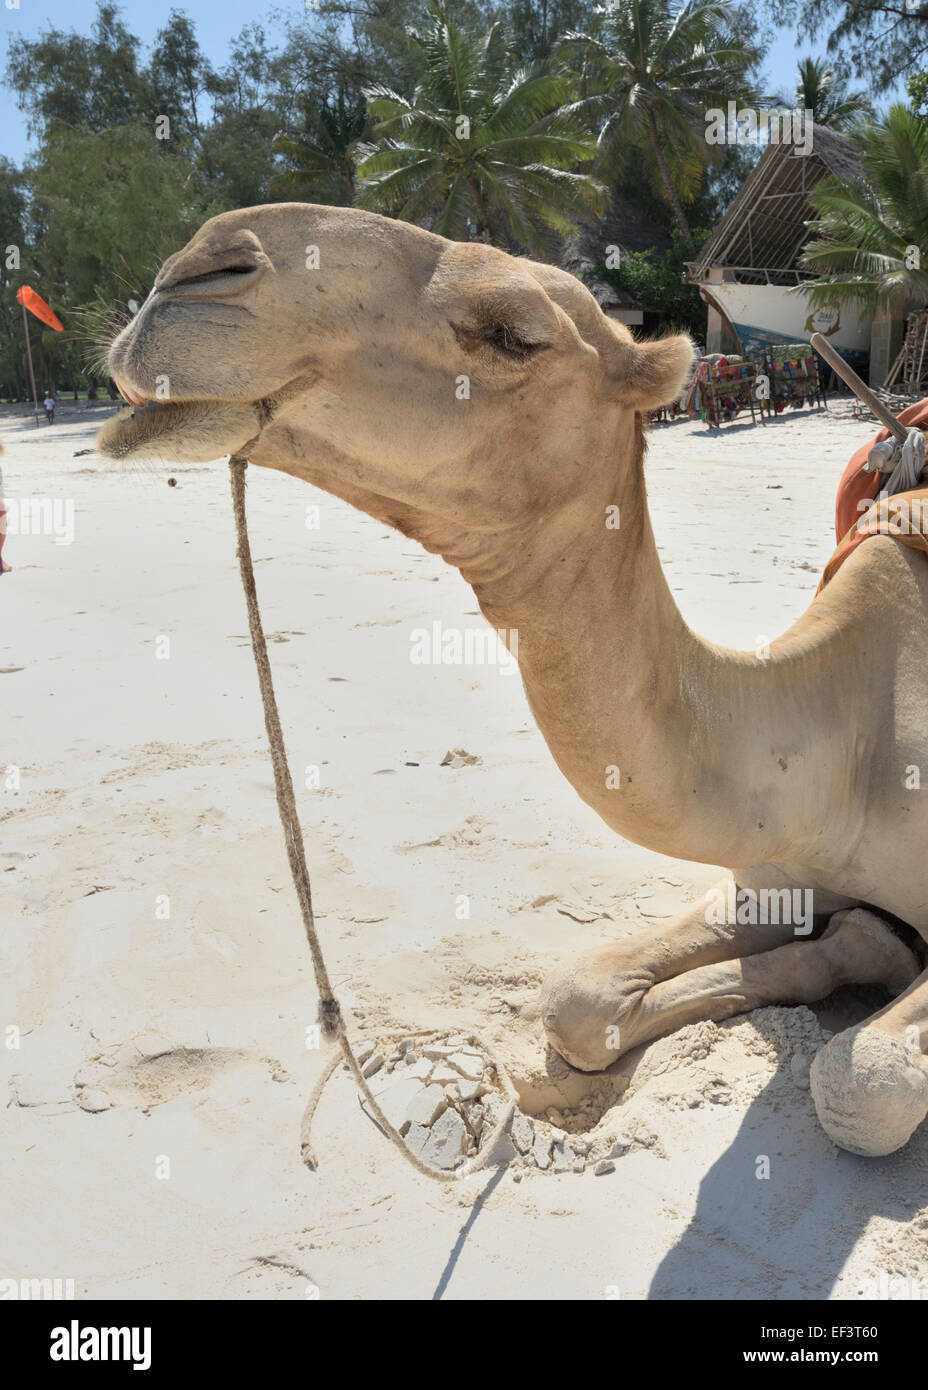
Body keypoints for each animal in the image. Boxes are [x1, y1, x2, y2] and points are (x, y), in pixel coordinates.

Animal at [98, 203, 928, 1158]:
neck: (843, 731)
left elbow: (862, 1081)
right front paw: (861, 940)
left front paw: (874, 950)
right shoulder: (773, 865)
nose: (192, 271)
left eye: (513, 332)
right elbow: (577, 1003)